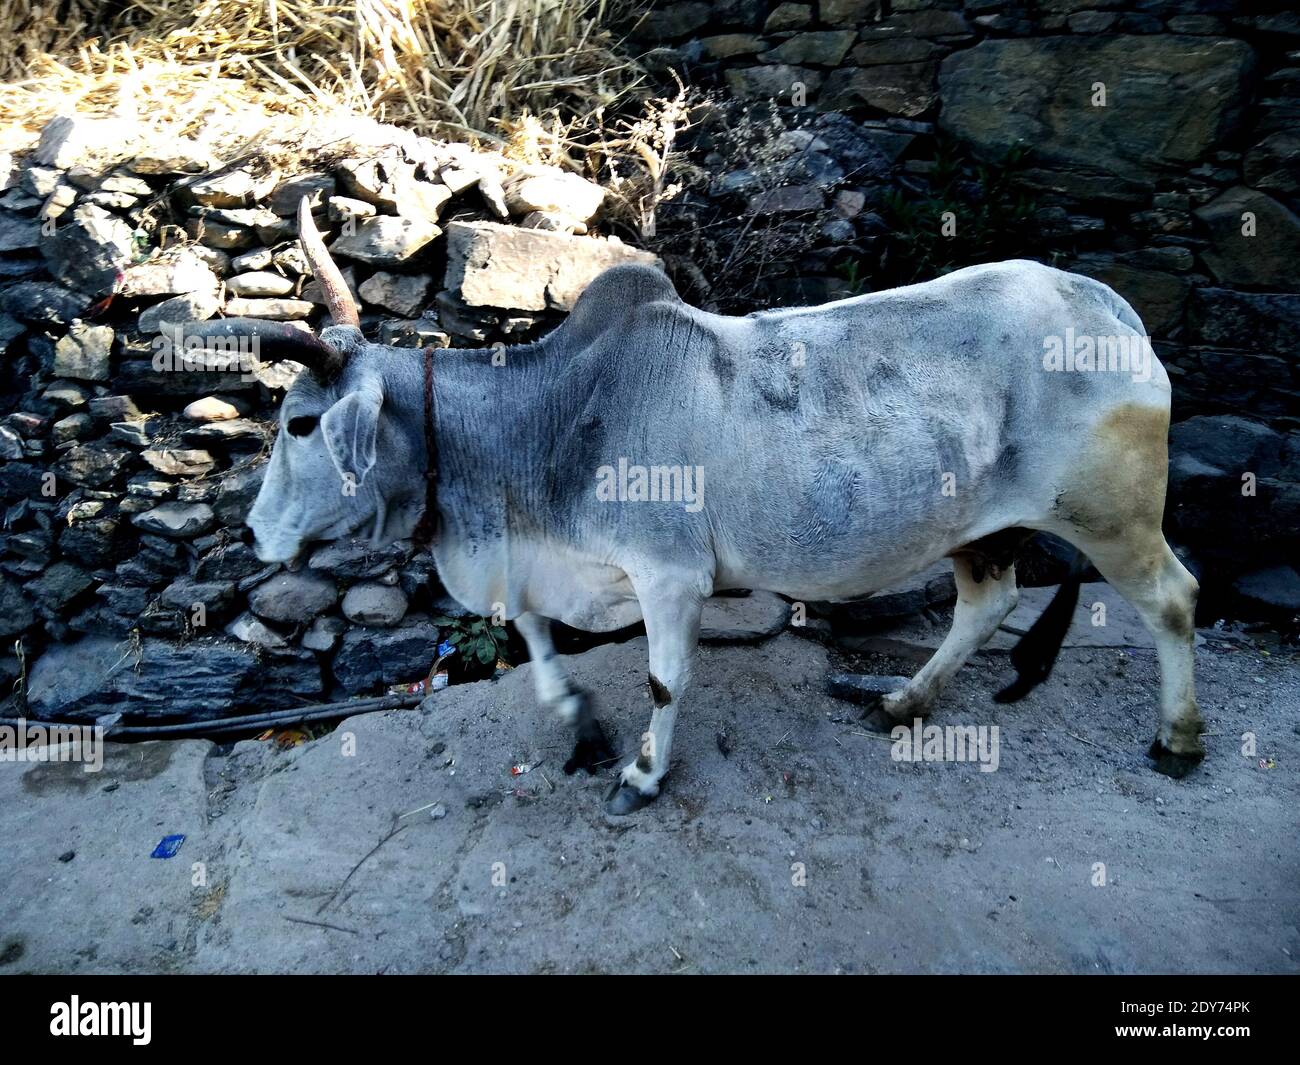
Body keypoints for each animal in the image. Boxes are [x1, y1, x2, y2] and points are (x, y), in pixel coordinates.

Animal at [185, 198, 1204, 815]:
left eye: (303, 422)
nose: (255, 531)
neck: (549, 417)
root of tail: (1107, 304)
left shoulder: (670, 577)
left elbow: (665, 680)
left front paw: (641, 772)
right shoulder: (554, 566)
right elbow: (540, 641)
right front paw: (581, 725)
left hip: (1113, 518)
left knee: (1175, 599)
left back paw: (1178, 740)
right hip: (979, 526)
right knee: (988, 601)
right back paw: (903, 700)